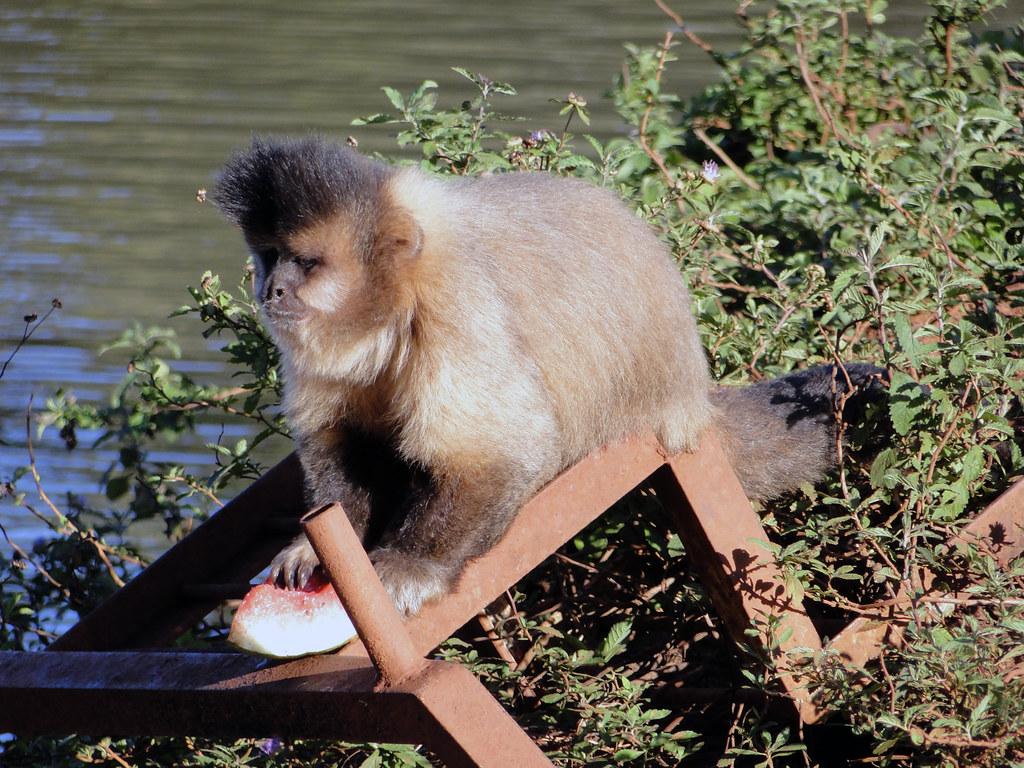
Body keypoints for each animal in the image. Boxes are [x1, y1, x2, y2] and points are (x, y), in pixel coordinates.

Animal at [213, 136, 887, 616]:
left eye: (306, 263)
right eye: (271, 257)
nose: (273, 289)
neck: (396, 302)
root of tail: (688, 395)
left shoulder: (458, 304)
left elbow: (502, 451)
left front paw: (412, 567)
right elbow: (341, 440)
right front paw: (314, 546)